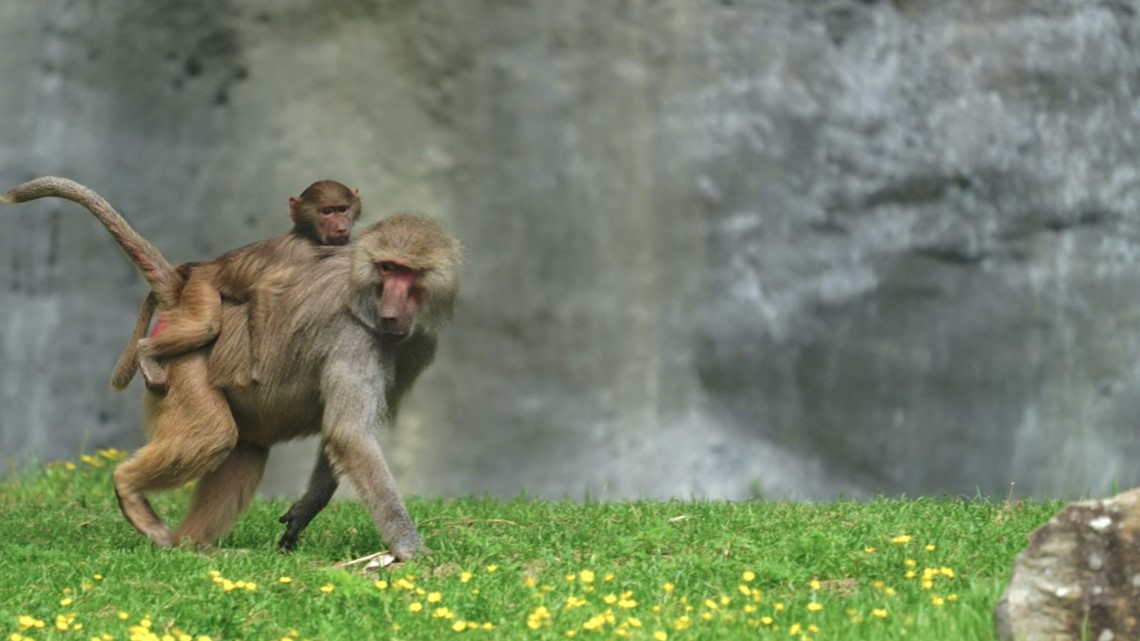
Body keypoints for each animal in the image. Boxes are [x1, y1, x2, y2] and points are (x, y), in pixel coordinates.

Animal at [111, 180, 362, 391]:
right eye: (326, 212)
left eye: (342, 209)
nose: (341, 227)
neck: (309, 235)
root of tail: (210, 265)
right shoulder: (304, 256)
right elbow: (262, 290)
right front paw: (256, 368)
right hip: (201, 286)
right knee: (207, 326)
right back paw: (145, 350)